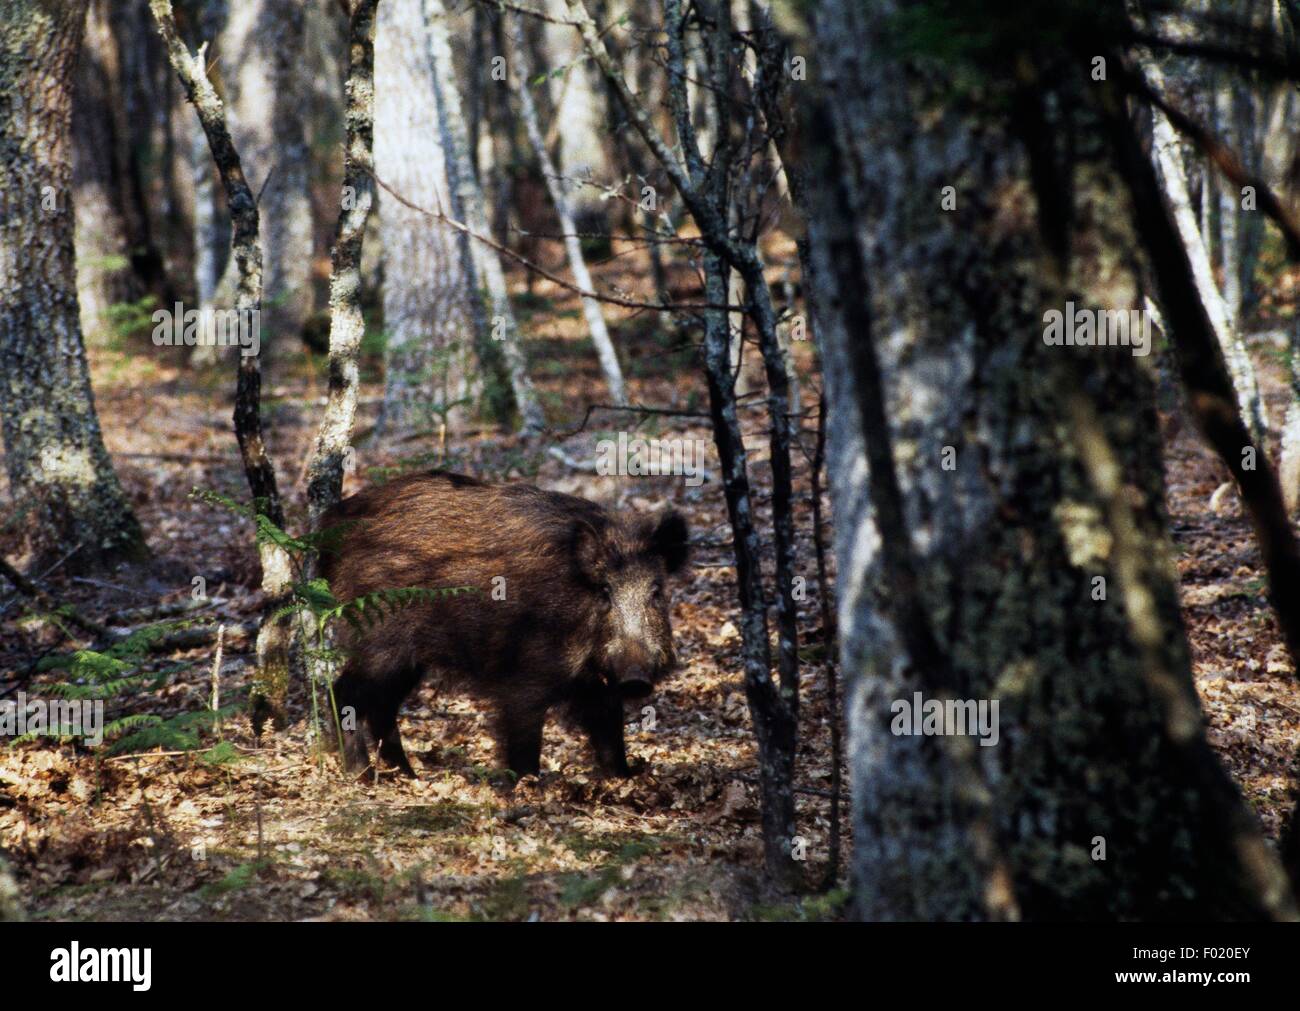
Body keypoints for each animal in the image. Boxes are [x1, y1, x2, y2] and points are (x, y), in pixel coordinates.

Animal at [319, 469, 690, 780]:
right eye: (604, 592)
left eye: (656, 592)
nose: (636, 678)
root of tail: (333, 524)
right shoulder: (522, 678)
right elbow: (524, 744)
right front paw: (526, 789)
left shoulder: (598, 686)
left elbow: (611, 737)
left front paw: (625, 780)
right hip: (380, 643)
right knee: (342, 692)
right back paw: (361, 774)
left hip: (407, 659)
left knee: (382, 707)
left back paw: (409, 775)